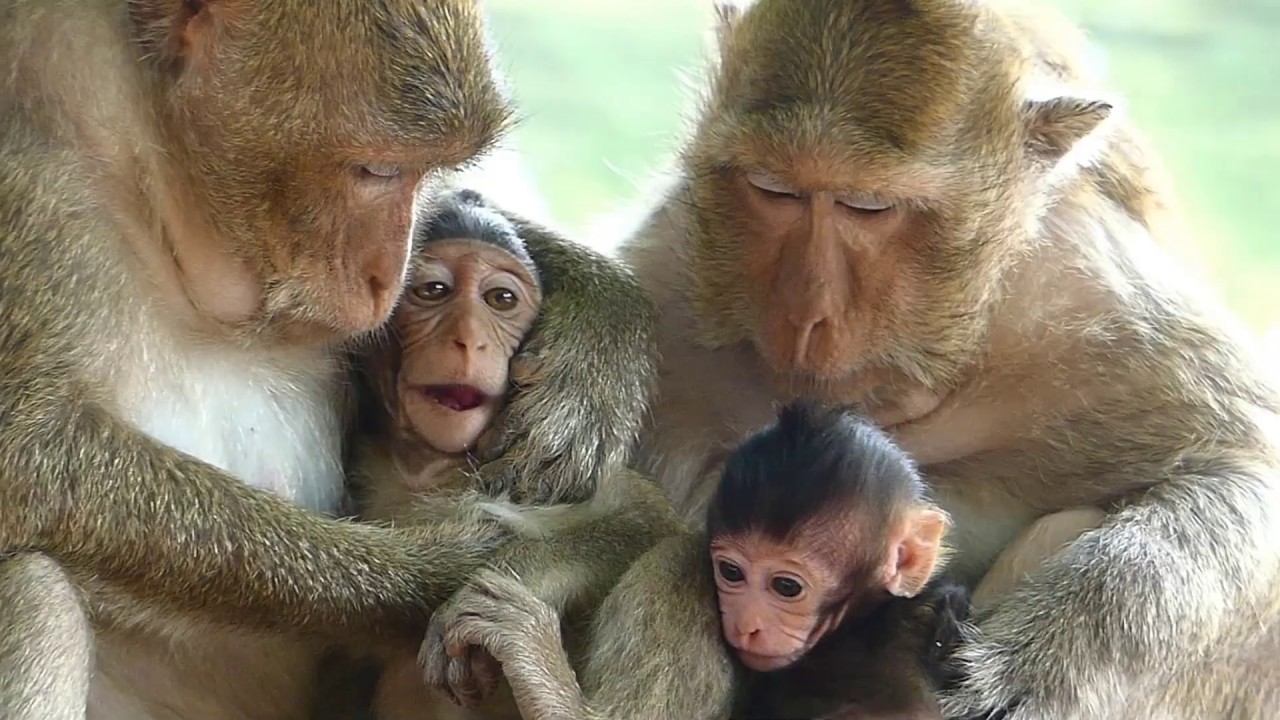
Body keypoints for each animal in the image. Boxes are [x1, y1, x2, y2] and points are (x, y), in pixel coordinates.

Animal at [0, 2, 659, 719]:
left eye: (429, 171)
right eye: (377, 171)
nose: (390, 276)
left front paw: (597, 347)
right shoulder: (36, 175)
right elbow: (25, 456)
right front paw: (441, 570)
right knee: (34, 588)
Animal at [429, 0, 1280, 718]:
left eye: (869, 208)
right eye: (773, 191)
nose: (807, 311)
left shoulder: (1085, 303)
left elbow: (1244, 470)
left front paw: (1030, 664)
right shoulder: (686, 269)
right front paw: (597, 342)